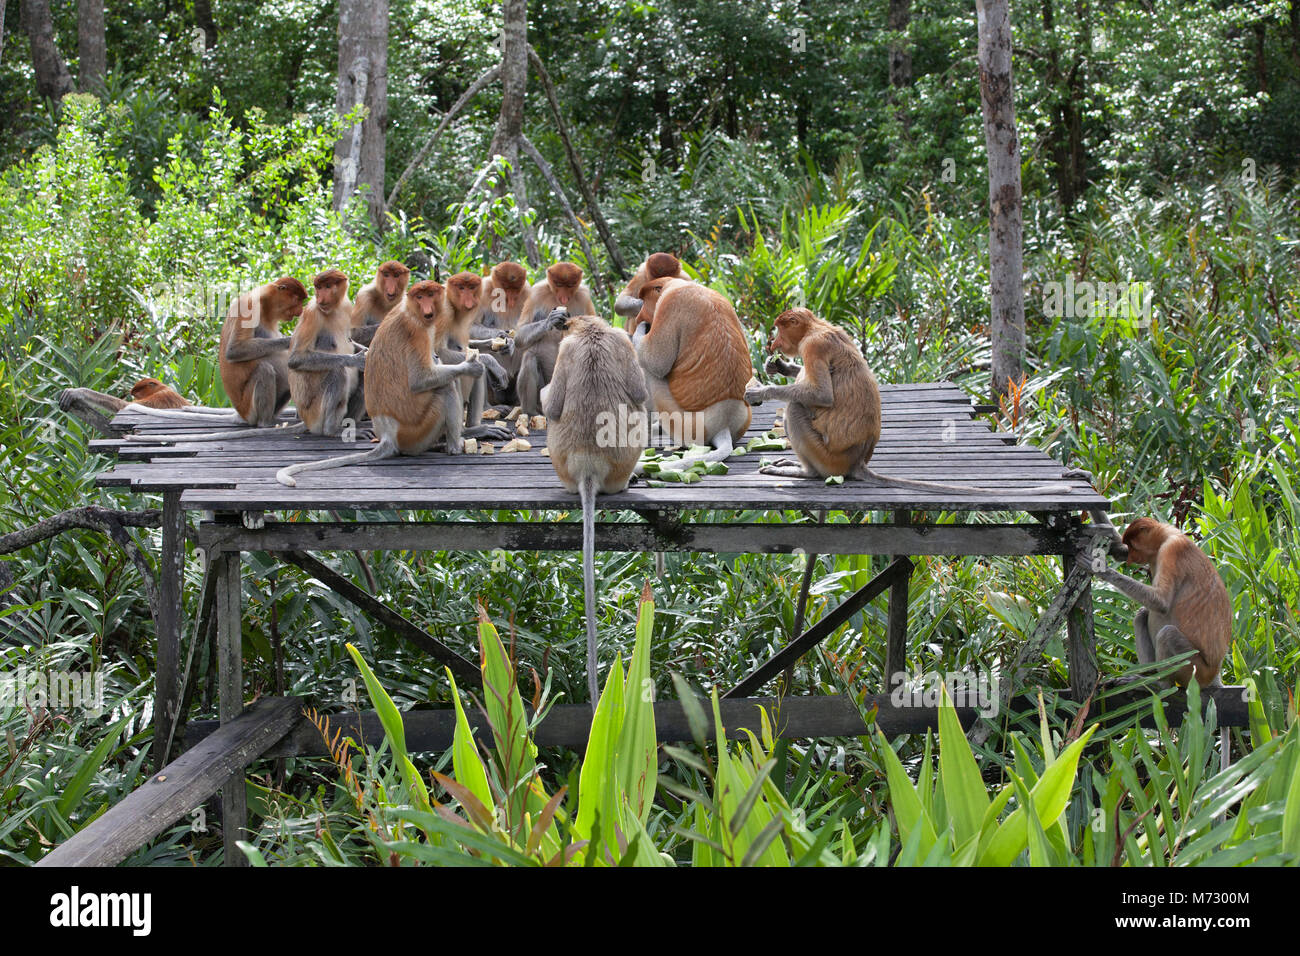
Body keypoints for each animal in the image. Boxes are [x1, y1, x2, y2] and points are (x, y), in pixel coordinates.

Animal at [287, 269, 367, 437]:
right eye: (318, 287)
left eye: (328, 286)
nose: (320, 298)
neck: (334, 309)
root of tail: (306, 421)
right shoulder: (312, 313)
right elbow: (296, 358)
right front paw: (355, 360)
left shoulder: (346, 305)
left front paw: (367, 351)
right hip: (315, 414)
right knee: (337, 372)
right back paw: (332, 431)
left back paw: (350, 425)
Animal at [516, 263, 598, 417]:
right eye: (559, 284)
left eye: (570, 285)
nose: (564, 298)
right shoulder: (537, 292)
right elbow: (519, 334)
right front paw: (551, 320)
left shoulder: (584, 295)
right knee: (530, 356)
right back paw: (531, 412)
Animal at [631, 277, 752, 468]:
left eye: (644, 301)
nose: (639, 317)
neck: (678, 284)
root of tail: (724, 423)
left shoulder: (670, 304)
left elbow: (656, 362)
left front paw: (640, 330)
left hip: (683, 424)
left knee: (649, 373)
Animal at [744, 308, 1071, 494]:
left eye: (779, 328)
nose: (773, 344)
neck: (816, 326)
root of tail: (857, 460)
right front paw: (780, 367)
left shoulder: (814, 346)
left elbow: (822, 395)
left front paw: (761, 391)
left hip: (827, 455)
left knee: (796, 409)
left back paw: (802, 471)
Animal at [1080, 518, 1232, 688]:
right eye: (1129, 548)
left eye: (1133, 546)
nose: (1130, 559)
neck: (1165, 538)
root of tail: (1215, 674)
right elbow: (1119, 551)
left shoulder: (1172, 550)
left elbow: (1161, 602)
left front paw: (1097, 567)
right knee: (1142, 615)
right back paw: (1147, 674)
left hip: (1195, 670)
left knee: (1167, 634)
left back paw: (1158, 685)